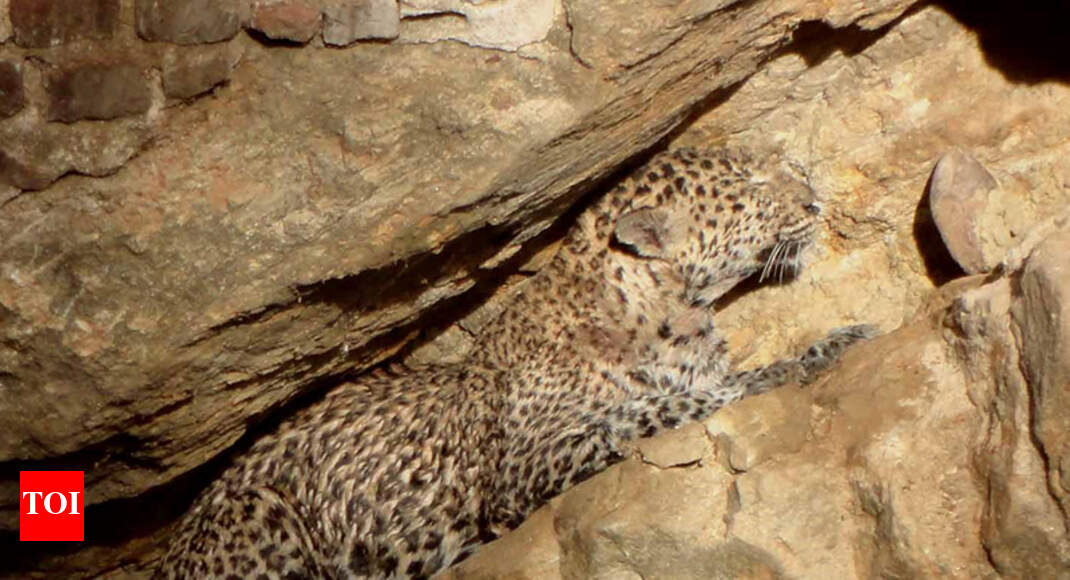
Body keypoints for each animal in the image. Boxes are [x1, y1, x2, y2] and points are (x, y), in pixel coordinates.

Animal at [155, 146, 877, 579]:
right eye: (752, 187)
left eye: (783, 169)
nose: (814, 199)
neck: (665, 308)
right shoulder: (526, 463)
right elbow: (658, 407)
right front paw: (802, 361)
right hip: (256, 510)